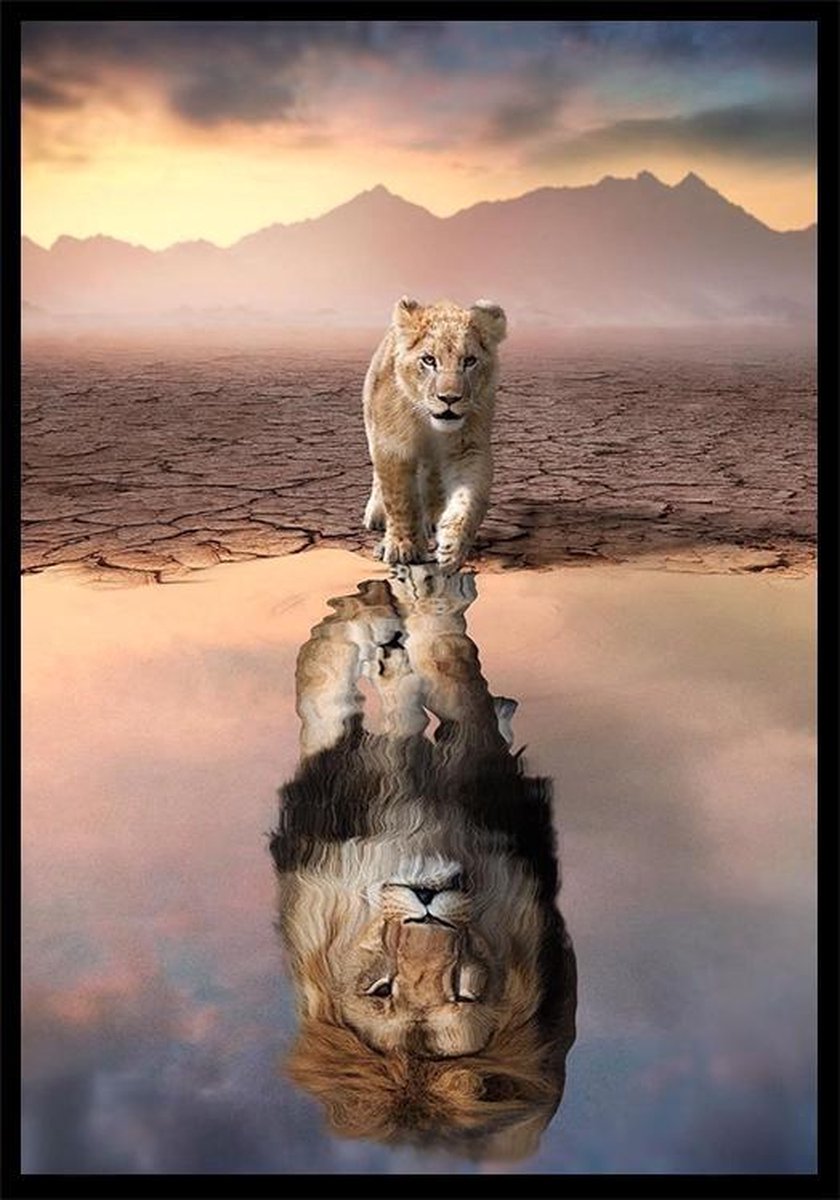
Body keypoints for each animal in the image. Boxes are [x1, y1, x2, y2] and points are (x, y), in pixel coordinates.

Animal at [270, 565, 576, 1162]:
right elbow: (321, 685)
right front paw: (365, 622)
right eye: (381, 988)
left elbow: (452, 666)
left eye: (464, 988)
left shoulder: (486, 776)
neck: (417, 829)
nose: (426, 902)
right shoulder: (332, 783)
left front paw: (431, 605)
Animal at [362, 297, 507, 572]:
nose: (449, 399)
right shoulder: (392, 445)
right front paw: (402, 547)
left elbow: (469, 499)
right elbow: (400, 498)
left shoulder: (468, 449)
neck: (428, 423)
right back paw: (376, 514)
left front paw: (452, 547)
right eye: (429, 360)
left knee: (433, 477)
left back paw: (433, 516)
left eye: (469, 361)